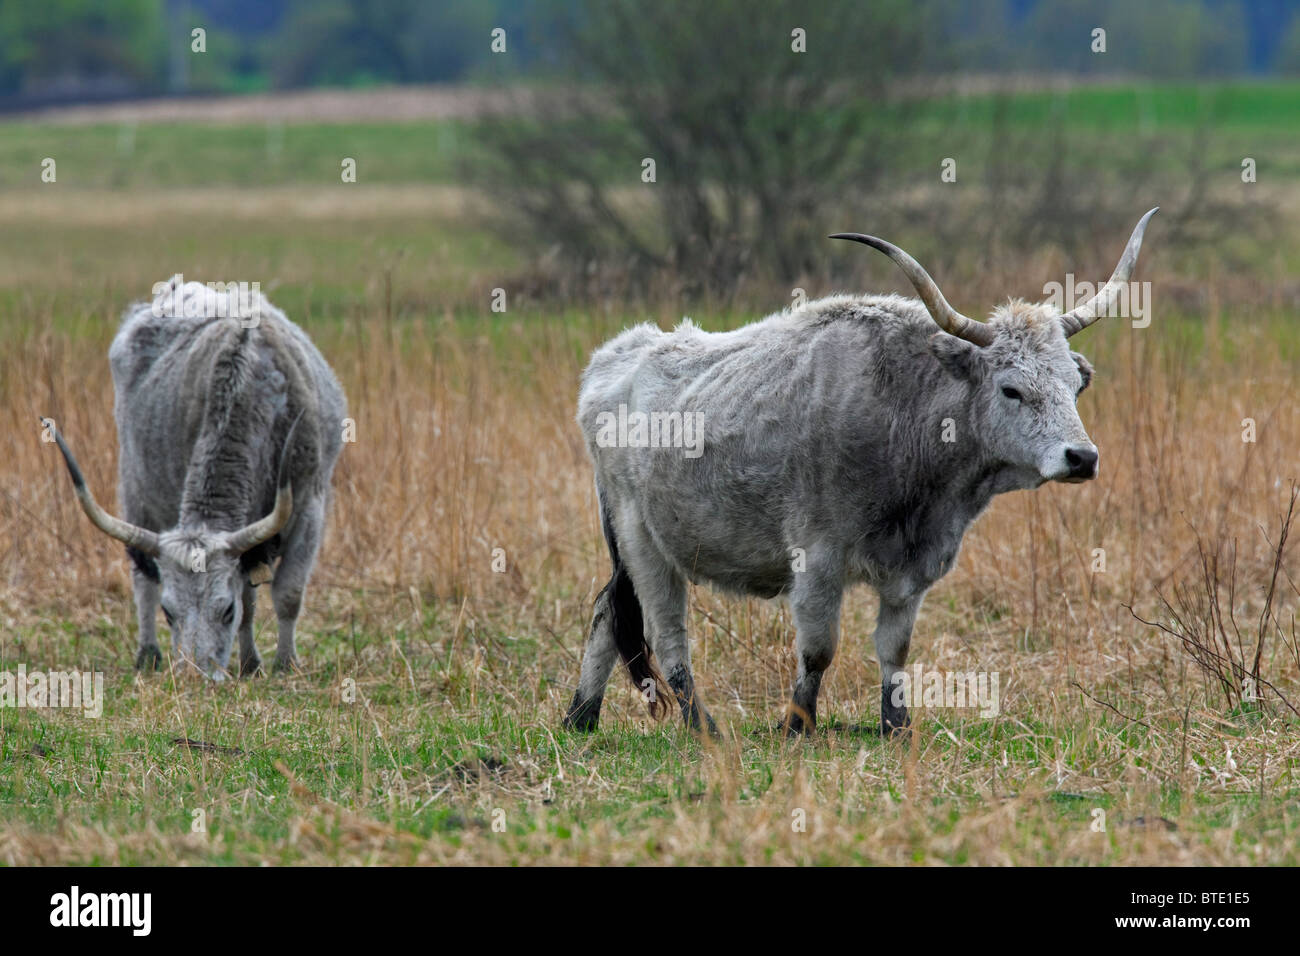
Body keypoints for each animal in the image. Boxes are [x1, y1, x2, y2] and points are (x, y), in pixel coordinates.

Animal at [46, 276, 346, 680]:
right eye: (169, 612)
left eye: (225, 611)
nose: (193, 673)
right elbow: (249, 598)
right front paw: (252, 662)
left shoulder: (308, 509)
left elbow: (286, 594)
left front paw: (281, 664)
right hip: (136, 489)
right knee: (143, 576)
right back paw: (148, 653)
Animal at [563, 209, 1157, 736]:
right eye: (1011, 388)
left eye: (1076, 386)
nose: (1082, 458)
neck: (904, 416)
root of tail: (616, 355)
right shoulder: (818, 560)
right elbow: (818, 650)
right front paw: (797, 725)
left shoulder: (914, 569)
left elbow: (895, 650)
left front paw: (897, 726)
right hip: (643, 540)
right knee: (667, 637)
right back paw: (701, 727)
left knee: (606, 615)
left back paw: (581, 717)